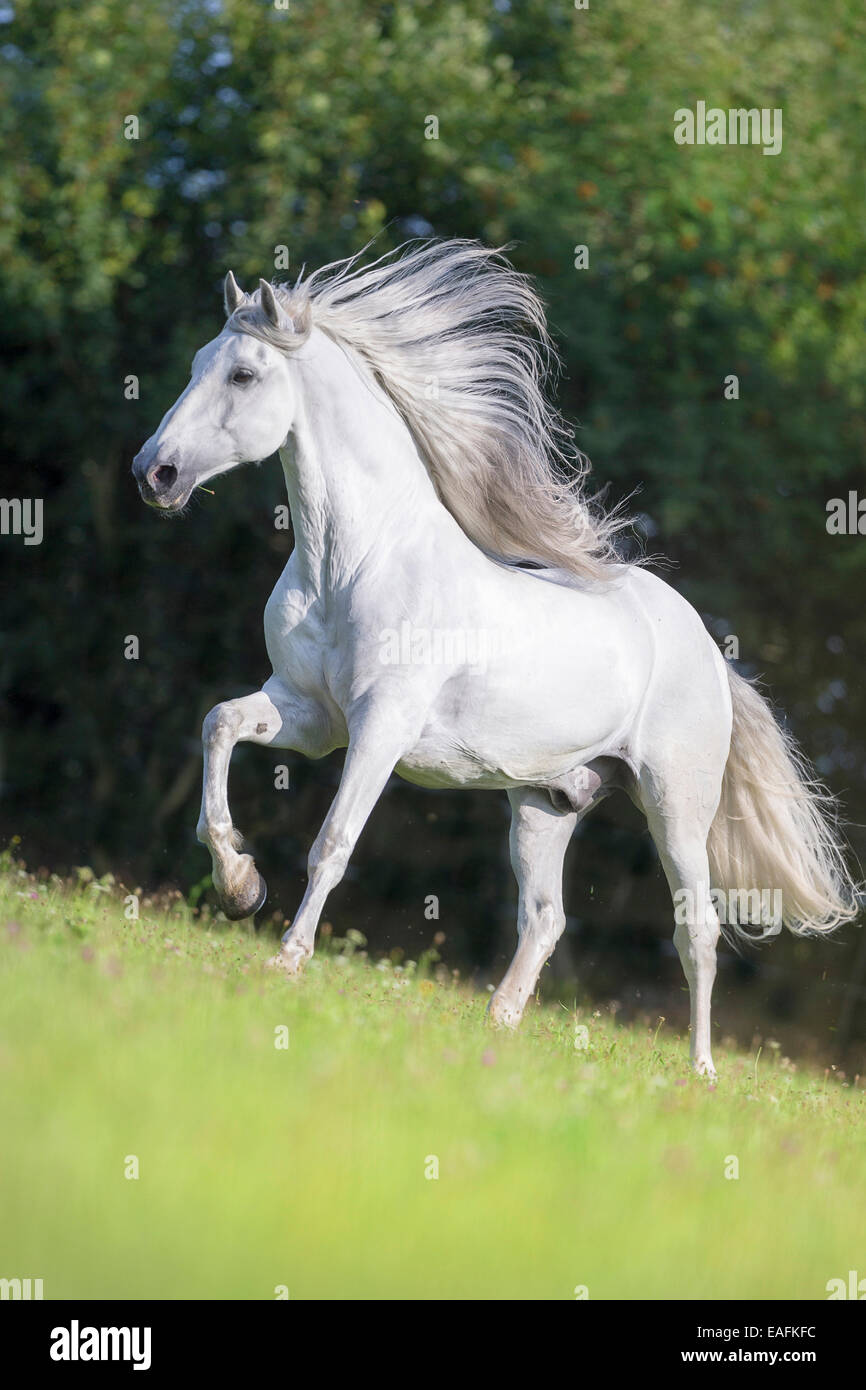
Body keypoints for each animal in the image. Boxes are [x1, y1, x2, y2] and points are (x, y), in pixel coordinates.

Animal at [132, 239, 858, 1076]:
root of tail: (709, 649)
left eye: (244, 374)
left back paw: (700, 1072)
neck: (355, 564)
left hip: (676, 805)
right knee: (545, 918)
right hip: (546, 802)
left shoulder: (379, 728)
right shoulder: (307, 714)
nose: (153, 473)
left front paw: (286, 959)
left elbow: (334, 842)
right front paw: (239, 884)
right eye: (197, 362)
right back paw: (498, 1027)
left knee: (695, 929)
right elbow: (219, 723)